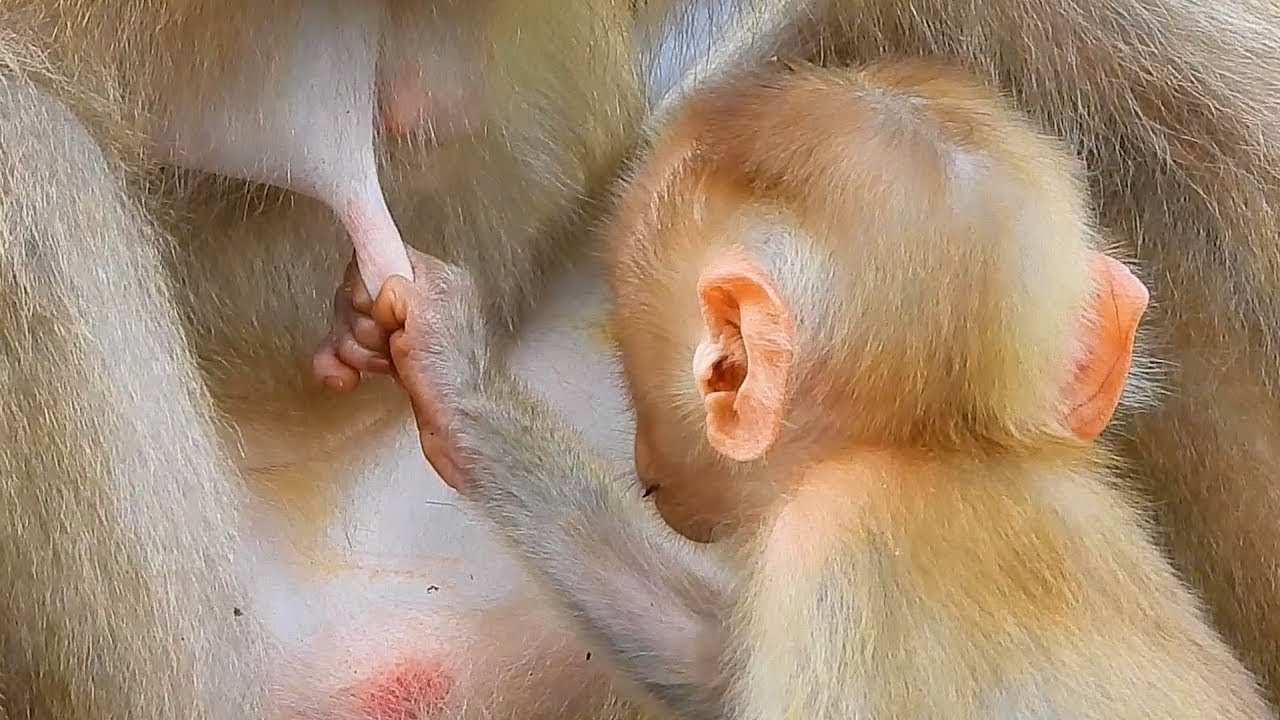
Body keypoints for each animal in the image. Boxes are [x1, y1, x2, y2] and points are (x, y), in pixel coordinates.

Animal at [336, 60, 1277, 718]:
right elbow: (713, 666)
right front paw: (440, 377)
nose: (646, 458)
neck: (941, 450)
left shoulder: (843, 545)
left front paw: (450, 362)